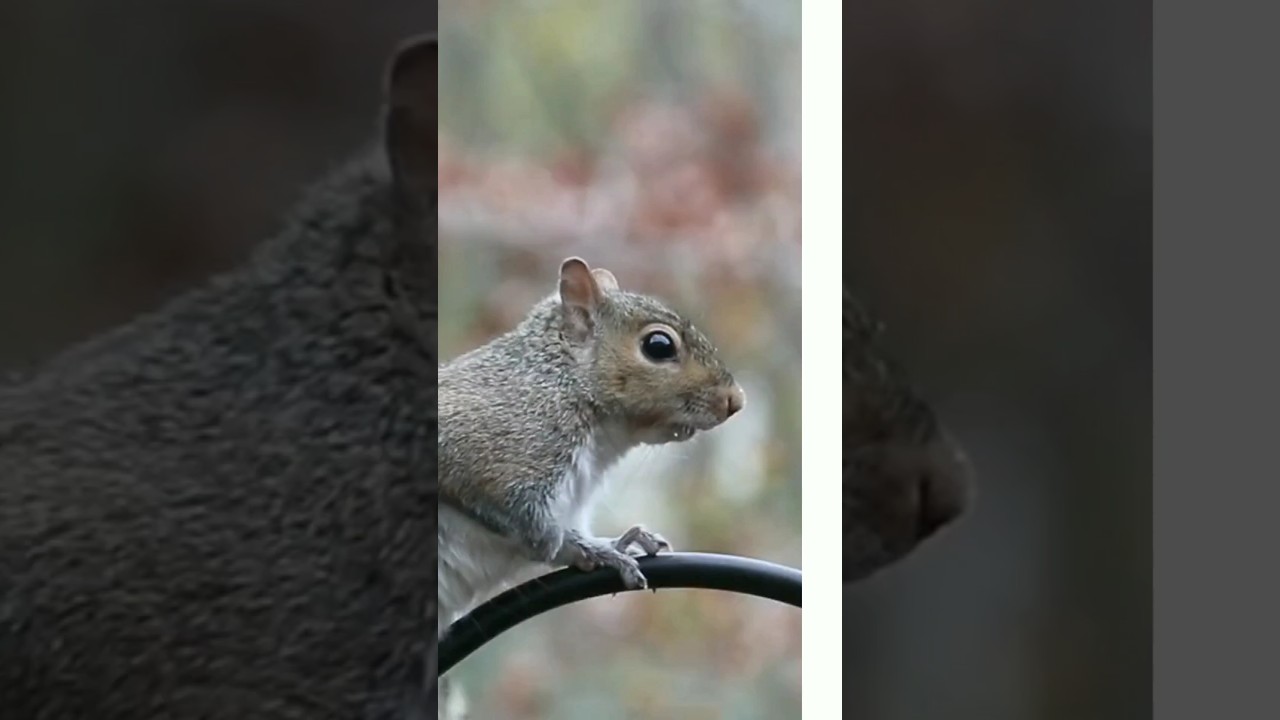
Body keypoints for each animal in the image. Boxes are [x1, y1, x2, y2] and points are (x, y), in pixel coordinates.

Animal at [436, 257, 747, 637]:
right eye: (659, 345)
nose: (735, 401)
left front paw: (613, 543)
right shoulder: (502, 449)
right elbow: (538, 534)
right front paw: (595, 551)